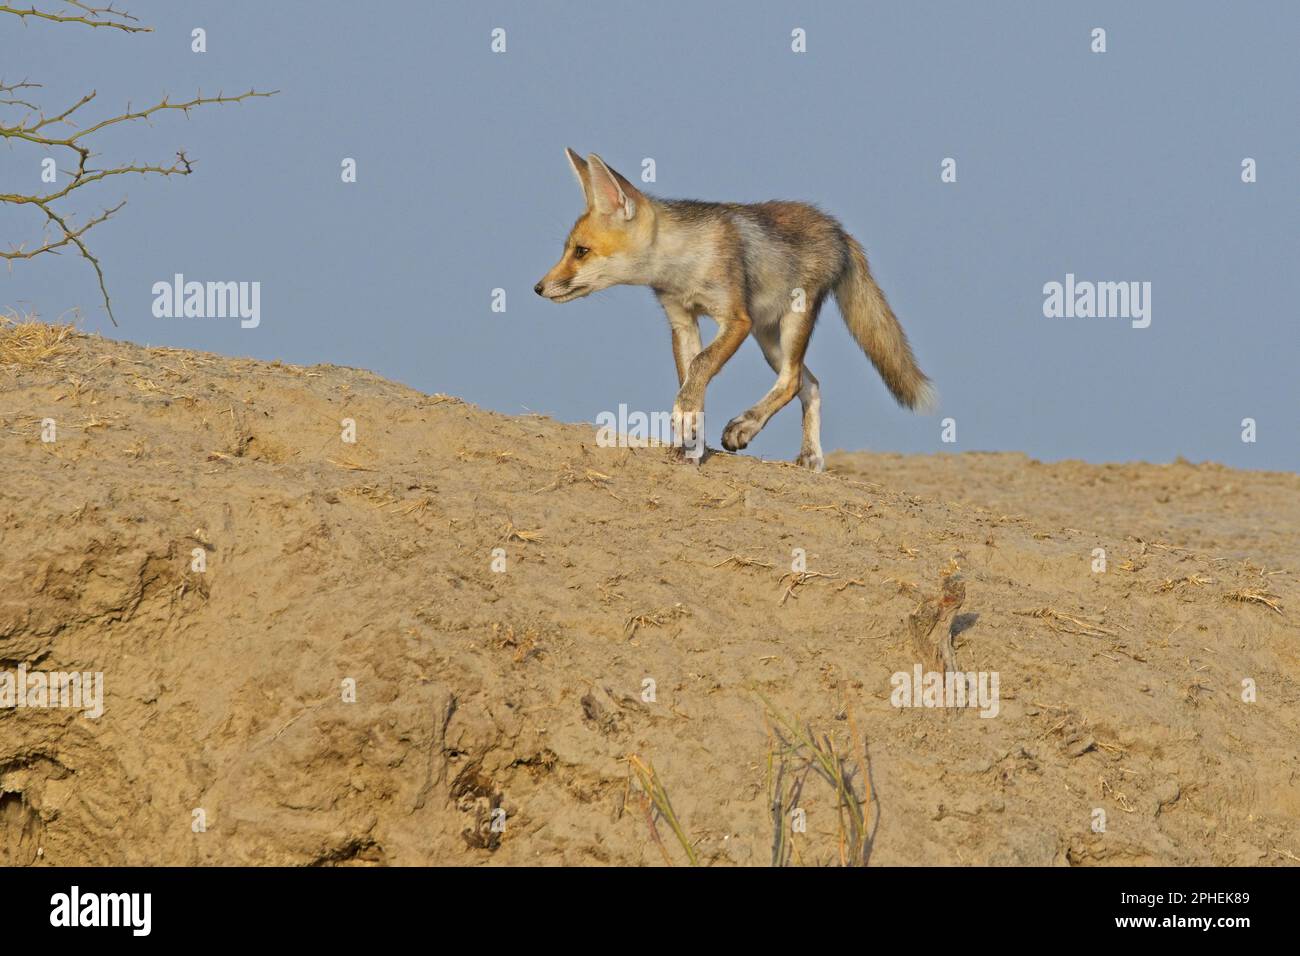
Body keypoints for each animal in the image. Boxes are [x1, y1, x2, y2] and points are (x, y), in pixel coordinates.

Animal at [534, 149, 934, 471]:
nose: (538, 287)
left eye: (581, 252)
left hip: (790, 324)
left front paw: (687, 420)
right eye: (569, 250)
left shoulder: (736, 319)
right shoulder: (682, 321)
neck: (683, 264)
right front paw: (692, 445)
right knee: (811, 384)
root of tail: (837, 227)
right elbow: (692, 379)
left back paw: (745, 426)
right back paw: (810, 456)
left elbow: (698, 370)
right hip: (768, 338)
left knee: (792, 381)